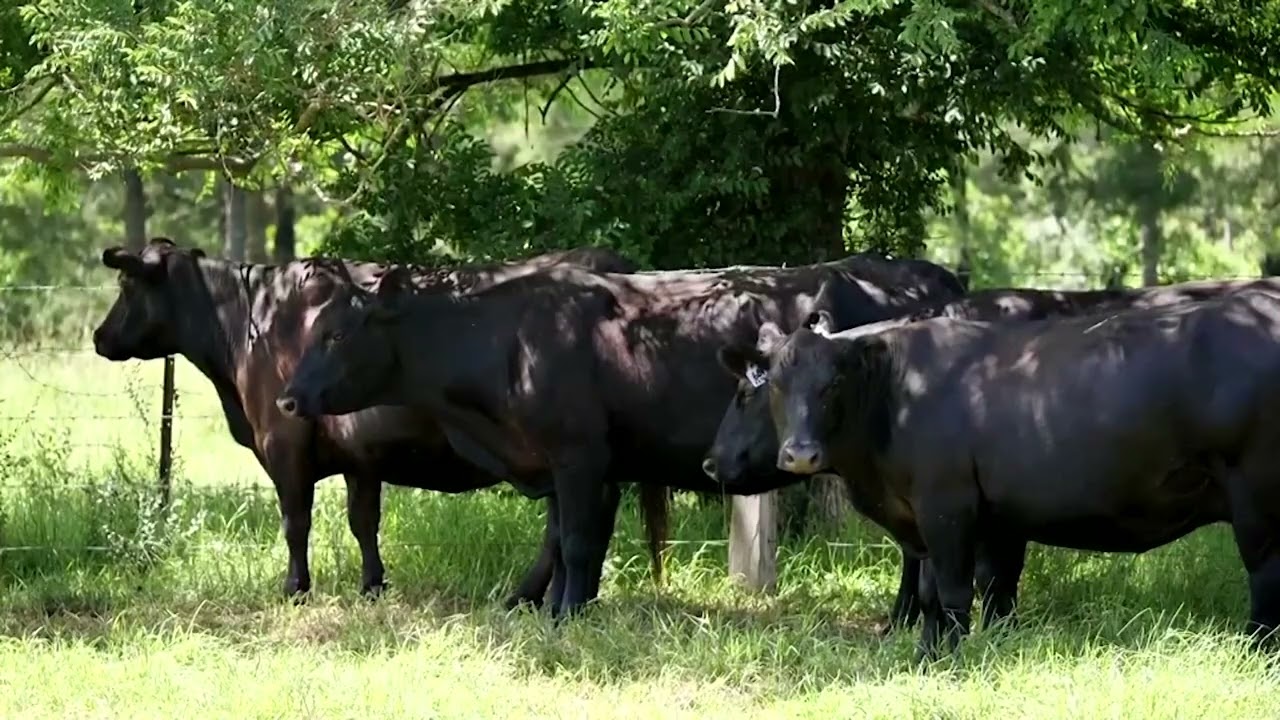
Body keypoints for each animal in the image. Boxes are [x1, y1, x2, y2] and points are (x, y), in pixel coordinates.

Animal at [91, 237, 653, 606]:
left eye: (126, 284)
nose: (98, 336)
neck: (255, 322)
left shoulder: (284, 443)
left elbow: (295, 521)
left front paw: (295, 589)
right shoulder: (360, 457)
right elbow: (363, 522)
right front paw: (372, 586)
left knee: (572, 524)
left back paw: (537, 598)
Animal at [274, 255, 967, 616]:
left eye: (336, 333)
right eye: (313, 330)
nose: (286, 397)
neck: (509, 340)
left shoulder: (578, 457)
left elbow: (579, 544)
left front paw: (564, 616)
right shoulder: (566, 464)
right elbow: (566, 542)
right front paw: (560, 607)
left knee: (916, 546)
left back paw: (902, 618)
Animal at [721, 283, 1280, 658]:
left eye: (833, 382)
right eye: (773, 385)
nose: (800, 454)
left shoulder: (947, 506)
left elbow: (954, 592)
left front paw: (949, 659)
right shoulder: (965, 519)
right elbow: (952, 592)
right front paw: (927, 655)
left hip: (1256, 496)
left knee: (1265, 575)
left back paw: (1258, 650)